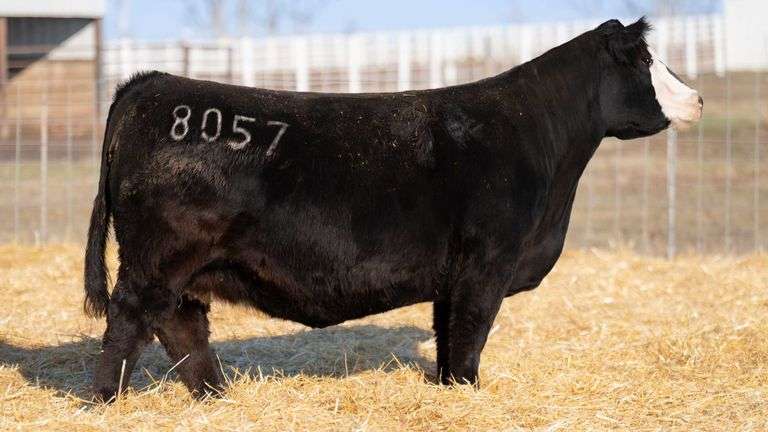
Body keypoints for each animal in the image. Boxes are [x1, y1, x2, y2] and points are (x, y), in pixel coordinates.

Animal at [84, 17, 702, 401]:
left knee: (182, 324)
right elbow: (472, 332)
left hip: (186, 268)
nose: (697, 98)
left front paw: (451, 390)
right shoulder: (487, 262)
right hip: (155, 260)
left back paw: (215, 395)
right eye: (646, 60)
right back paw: (105, 401)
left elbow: (449, 336)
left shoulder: (451, 276)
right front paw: (470, 390)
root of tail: (151, 84)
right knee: (128, 320)